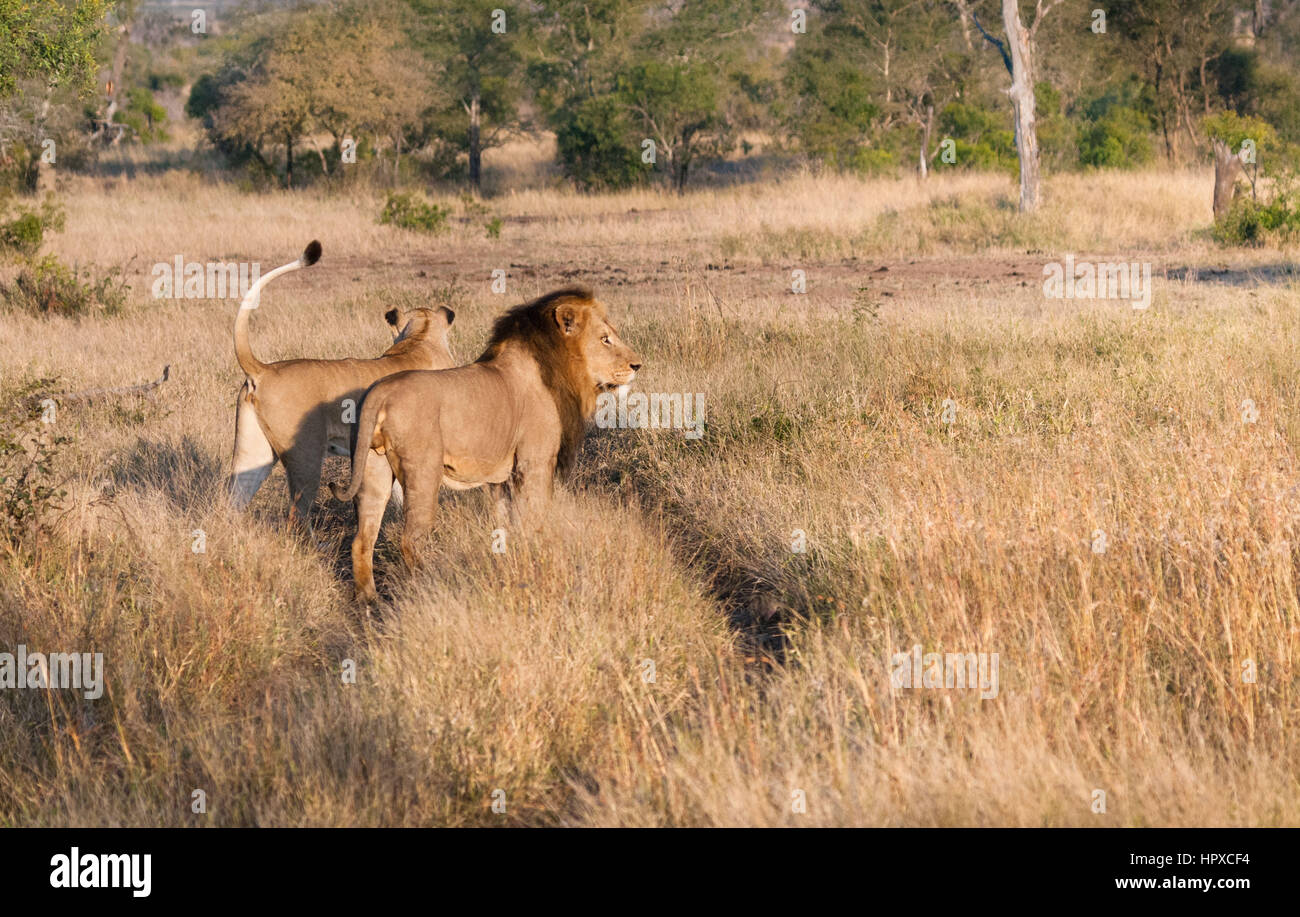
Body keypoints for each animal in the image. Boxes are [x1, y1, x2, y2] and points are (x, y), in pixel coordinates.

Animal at [227, 240, 458, 527]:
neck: (420, 339)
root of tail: (263, 369)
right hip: (306, 454)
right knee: (297, 515)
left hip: (253, 451)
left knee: (232, 500)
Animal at [329, 286, 642, 602]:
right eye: (605, 339)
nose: (637, 365)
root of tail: (379, 392)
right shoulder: (535, 463)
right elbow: (537, 518)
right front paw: (539, 554)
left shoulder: (500, 479)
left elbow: (507, 522)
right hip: (423, 472)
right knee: (411, 540)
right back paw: (429, 586)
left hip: (373, 471)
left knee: (362, 540)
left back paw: (368, 599)